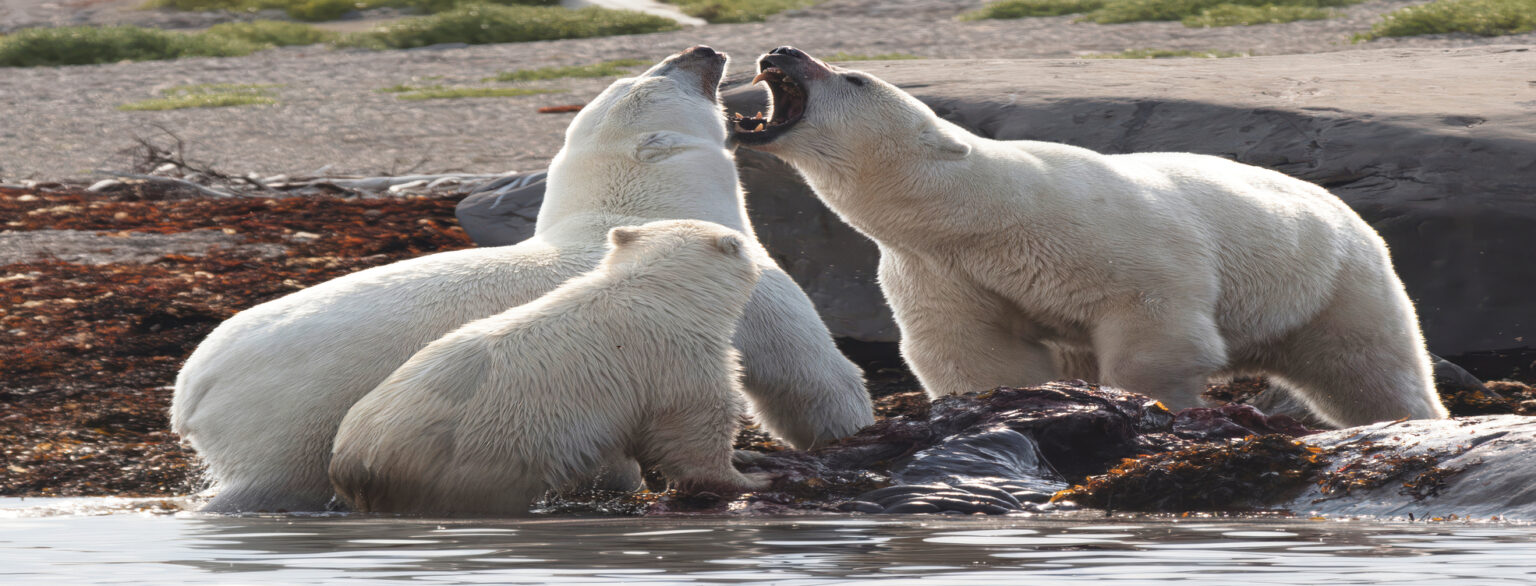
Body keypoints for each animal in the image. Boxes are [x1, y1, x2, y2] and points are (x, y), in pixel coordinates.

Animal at [328, 220, 771, 516]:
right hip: (464, 464)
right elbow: (694, 431)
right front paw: (752, 477)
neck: (659, 291)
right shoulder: (677, 355)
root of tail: (352, 463)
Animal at [729, 46, 1447, 428]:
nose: (781, 52)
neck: (983, 215)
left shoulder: (1105, 236)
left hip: (1335, 280)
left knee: (1371, 368)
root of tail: (1344, 209)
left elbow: (1154, 325)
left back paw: (1413, 420)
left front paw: (1149, 403)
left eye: (852, 78)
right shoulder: (939, 270)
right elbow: (975, 353)